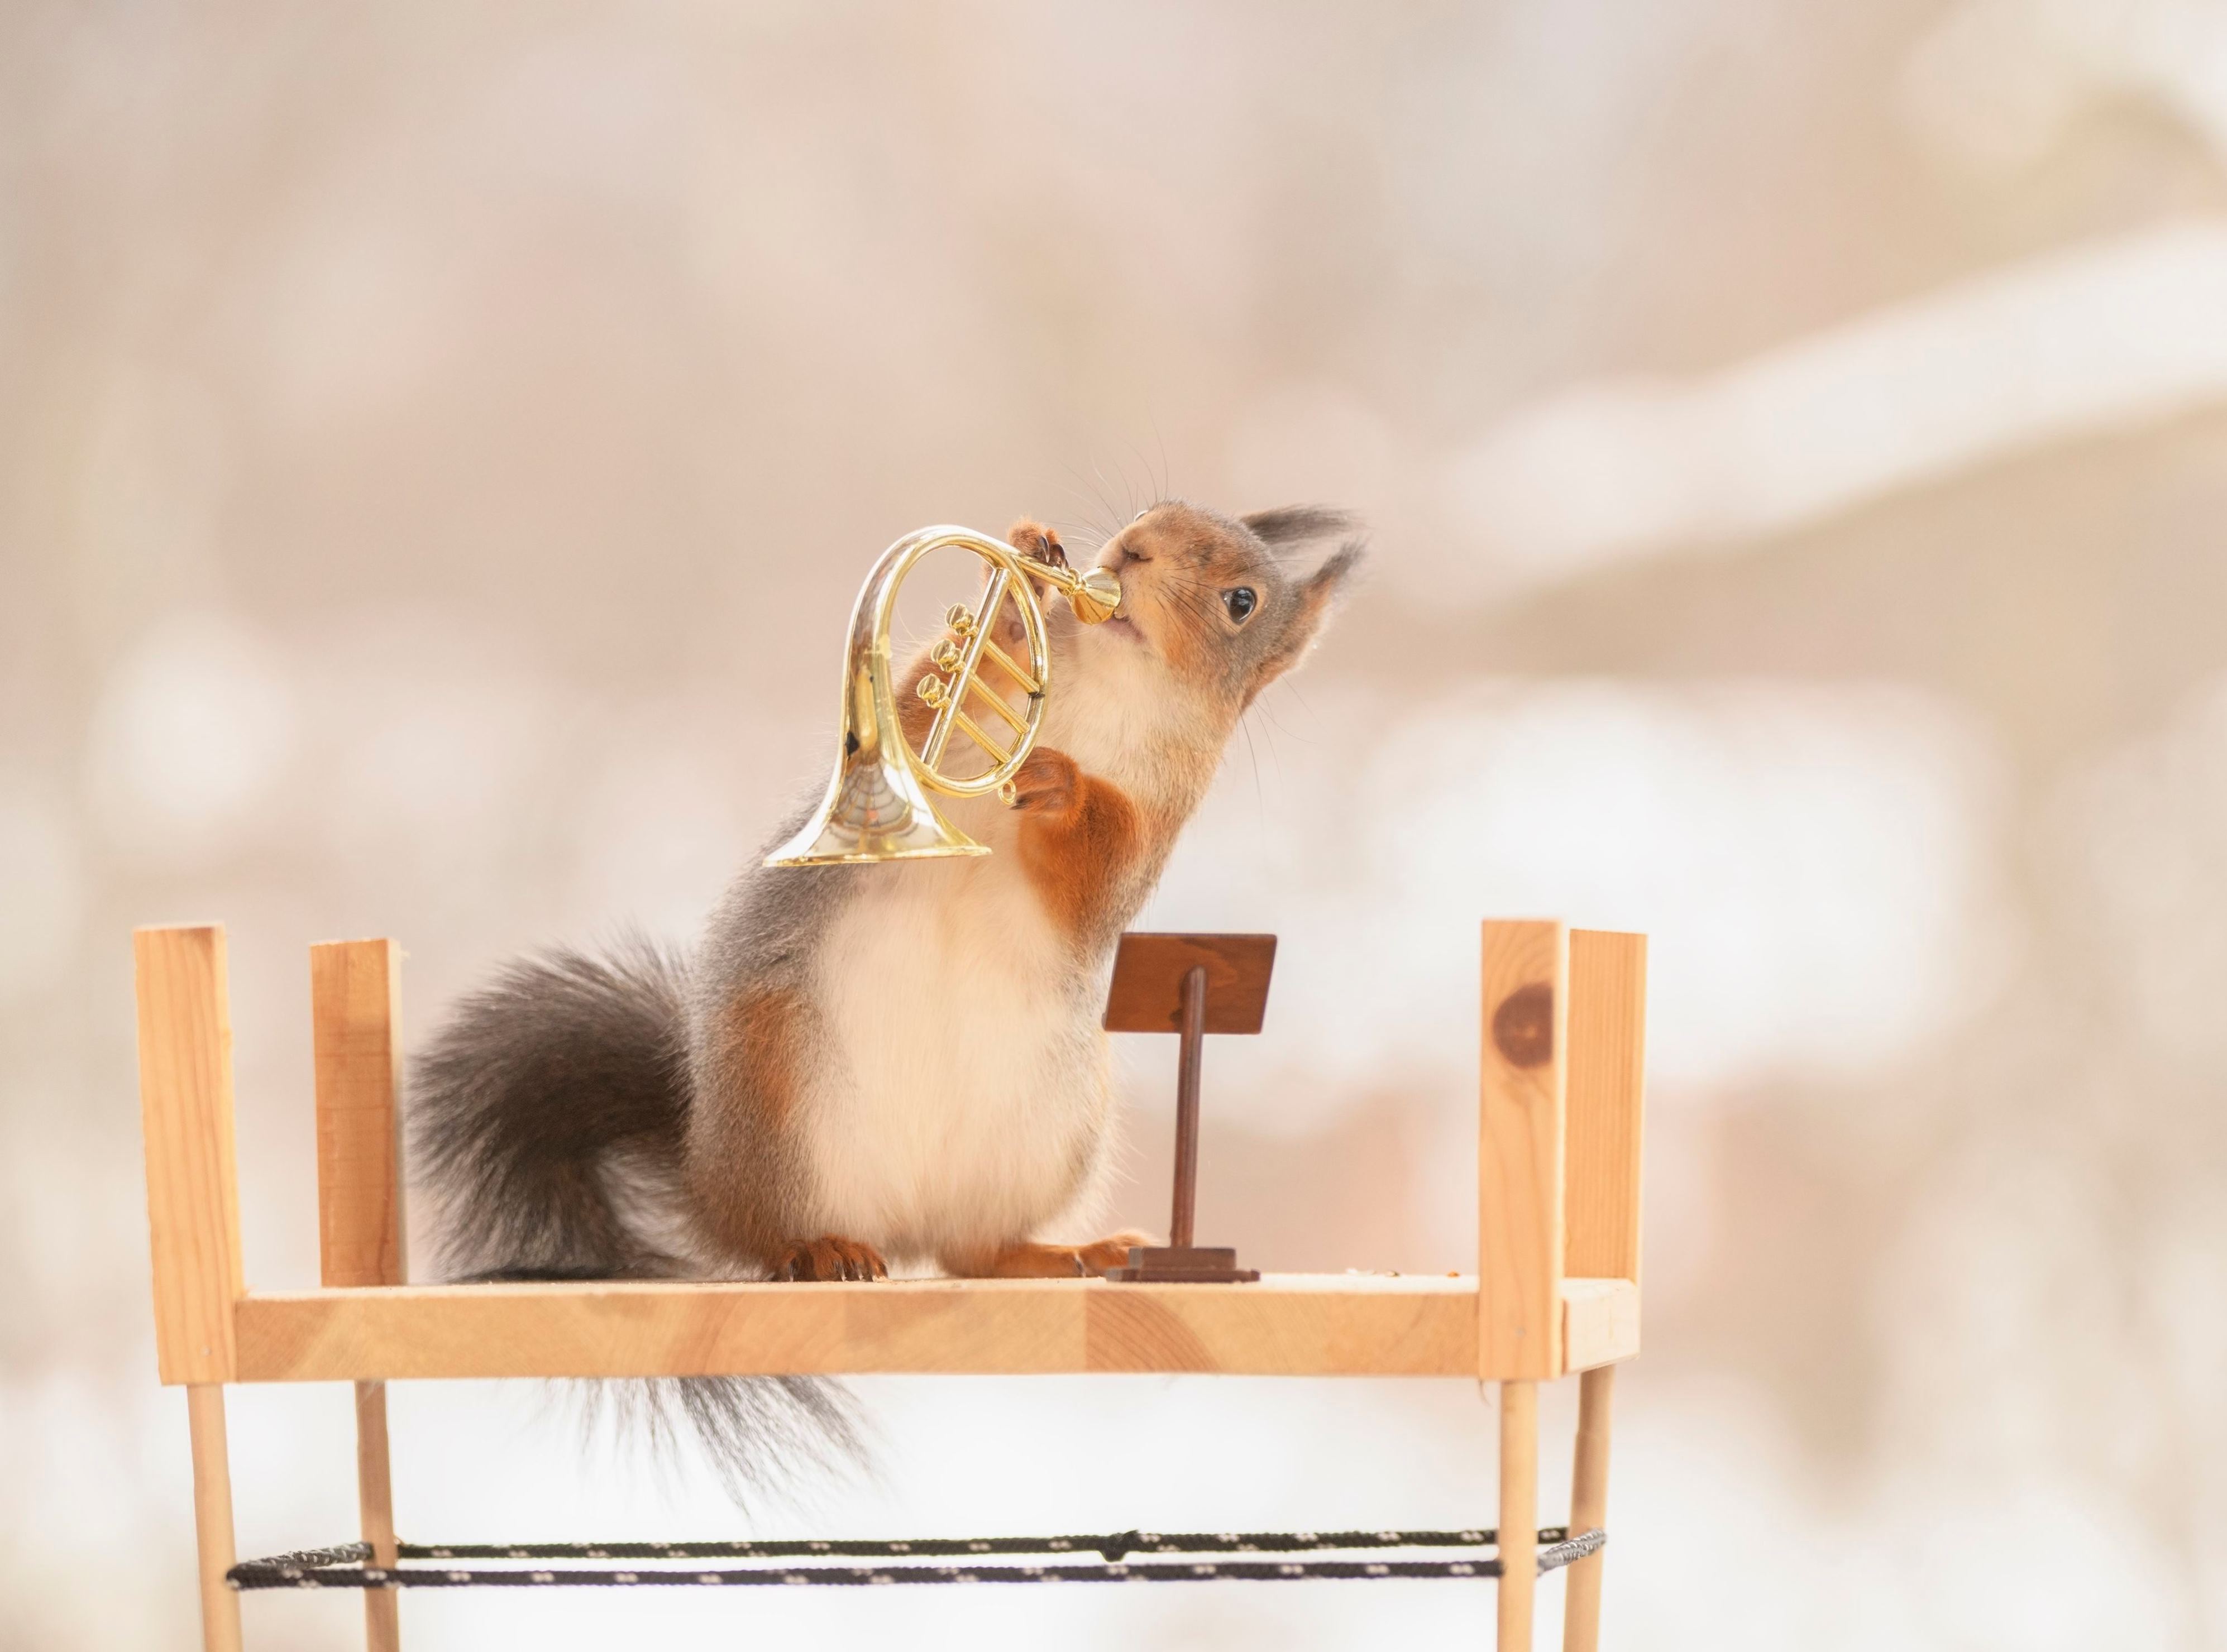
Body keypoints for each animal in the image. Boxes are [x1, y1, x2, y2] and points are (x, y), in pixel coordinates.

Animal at [411, 500, 1363, 1492]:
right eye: (1151, 513)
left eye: (1241, 601)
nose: (1129, 552)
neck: (1115, 687)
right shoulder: (928, 722)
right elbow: (917, 704)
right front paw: (1014, 592)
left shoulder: (1153, 828)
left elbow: (1095, 869)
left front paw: (1057, 778)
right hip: (778, 1082)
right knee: (770, 1237)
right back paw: (818, 1248)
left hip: (1045, 1133)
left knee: (970, 1253)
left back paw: (1063, 1252)